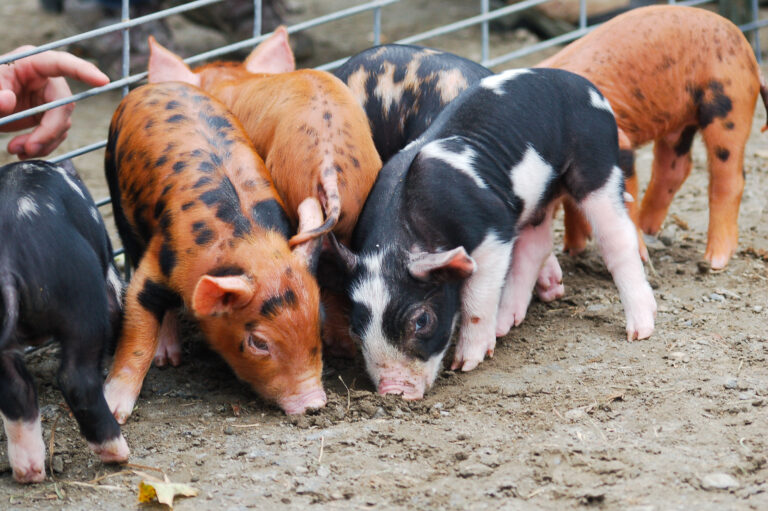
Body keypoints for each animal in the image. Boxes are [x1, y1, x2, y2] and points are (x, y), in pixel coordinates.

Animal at [0, 160, 129, 483]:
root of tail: (7, 261)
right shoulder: (107, 269)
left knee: (16, 389)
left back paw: (29, 473)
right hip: (81, 301)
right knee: (76, 379)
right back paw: (119, 452)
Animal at [103, 81, 327, 421]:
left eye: (319, 320)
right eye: (258, 342)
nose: (314, 403)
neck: (250, 243)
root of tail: (153, 86)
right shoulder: (157, 265)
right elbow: (138, 336)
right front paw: (115, 412)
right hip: (117, 194)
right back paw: (168, 359)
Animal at [324, 68, 656, 399]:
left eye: (422, 320)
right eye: (356, 329)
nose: (392, 391)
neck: (404, 231)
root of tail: (589, 88)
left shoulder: (492, 231)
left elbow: (476, 299)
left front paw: (465, 363)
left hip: (597, 164)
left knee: (618, 237)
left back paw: (640, 329)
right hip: (537, 199)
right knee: (536, 246)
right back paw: (505, 324)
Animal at [538, 5, 768, 269]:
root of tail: (752, 58)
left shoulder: (620, 146)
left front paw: (638, 257)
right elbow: (572, 203)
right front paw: (573, 250)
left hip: (728, 102)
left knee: (729, 177)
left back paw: (713, 261)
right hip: (679, 122)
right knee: (675, 168)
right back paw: (648, 228)